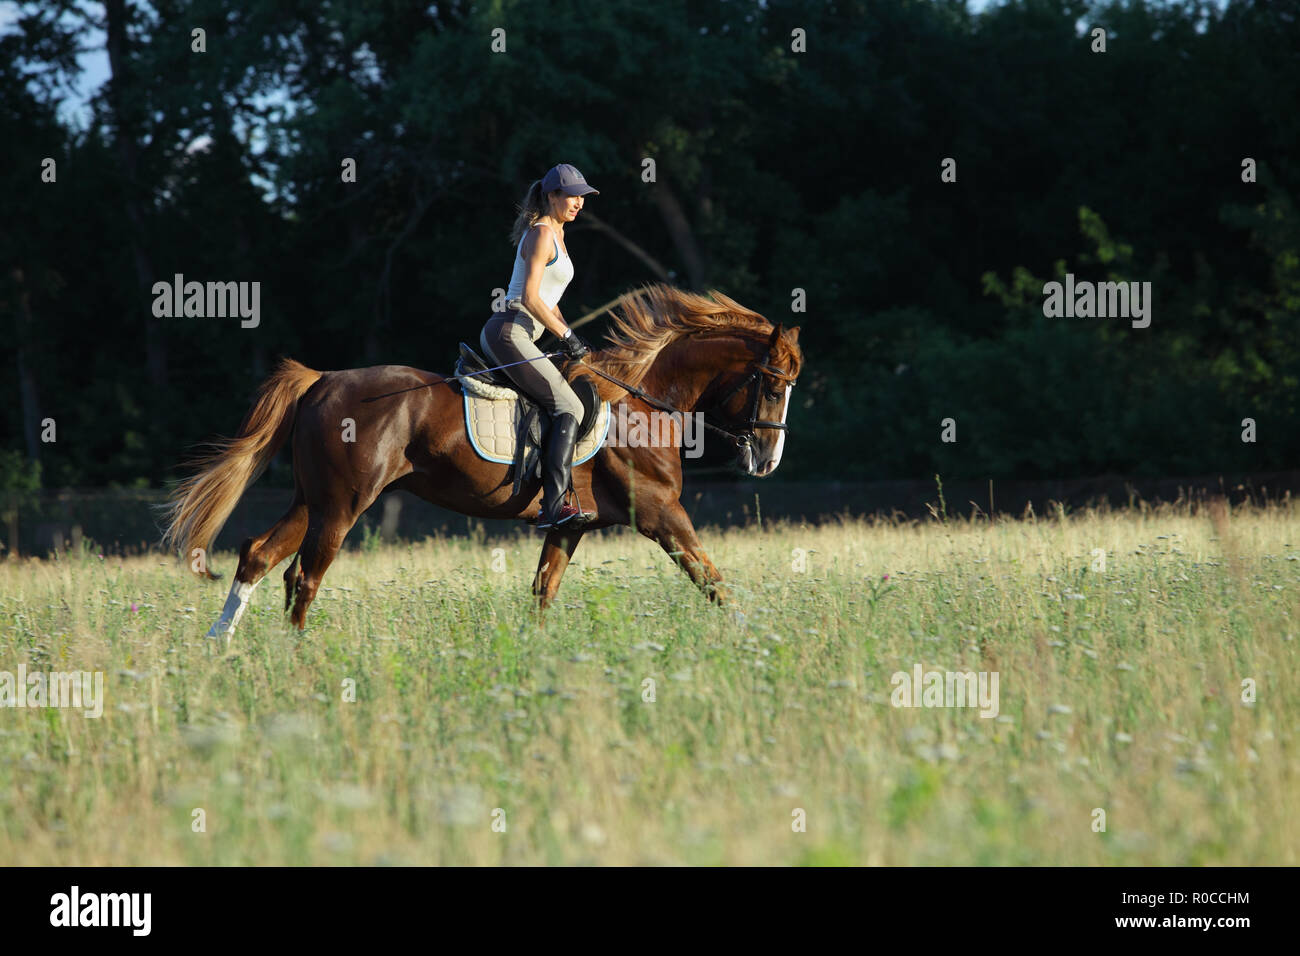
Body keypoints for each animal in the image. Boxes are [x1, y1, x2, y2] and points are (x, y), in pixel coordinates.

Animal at [159, 283, 802, 640]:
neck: (642, 402)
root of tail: (323, 379)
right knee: (304, 575)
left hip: (311, 500)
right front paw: (756, 642)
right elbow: (713, 582)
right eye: (773, 385)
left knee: (260, 555)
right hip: (342, 506)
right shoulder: (662, 515)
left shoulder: (571, 527)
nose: (769, 461)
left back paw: (223, 646)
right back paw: (294, 660)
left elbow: (543, 592)